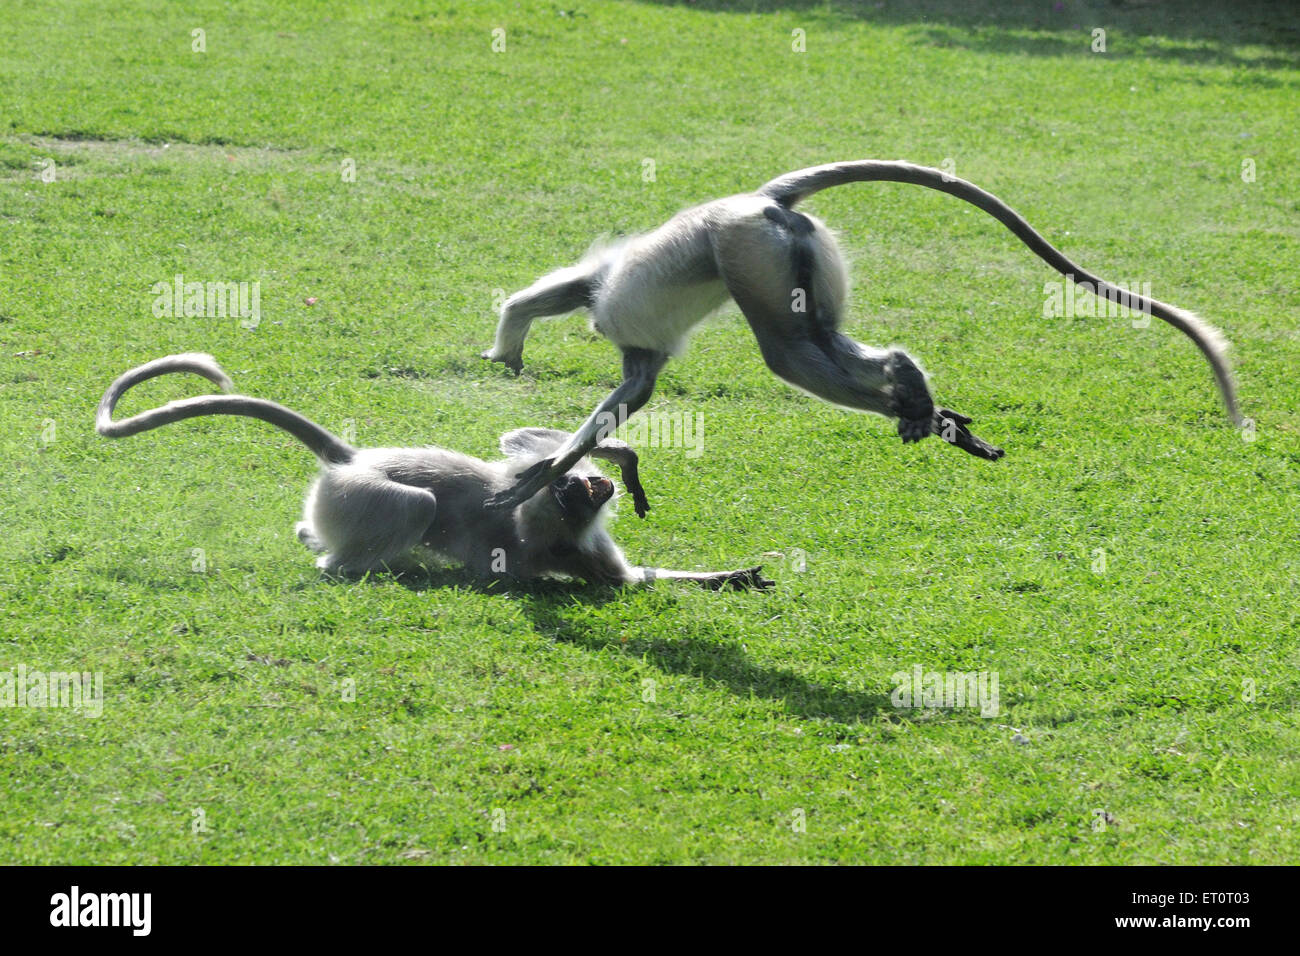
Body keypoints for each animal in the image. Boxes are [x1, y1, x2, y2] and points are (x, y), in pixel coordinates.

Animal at [94, 353, 773, 589]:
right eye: (572, 495)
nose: (591, 482)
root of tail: (349, 460)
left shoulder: (525, 471)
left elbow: (519, 441)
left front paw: (621, 458)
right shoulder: (564, 549)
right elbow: (624, 583)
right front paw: (724, 578)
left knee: (316, 529)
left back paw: (311, 537)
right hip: (362, 499)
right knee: (406, 513)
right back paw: (350, 564)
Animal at [481, 159, 1241, 513]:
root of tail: (760, 201)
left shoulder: (629, 334)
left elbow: (629, 387)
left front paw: (539, 475)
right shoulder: (609, 304)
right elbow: (572, 310)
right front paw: (509, 348)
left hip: (749, 252)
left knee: (789, 351)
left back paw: (911, 397)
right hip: (798, 253)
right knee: (819, 336)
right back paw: (920, 400)